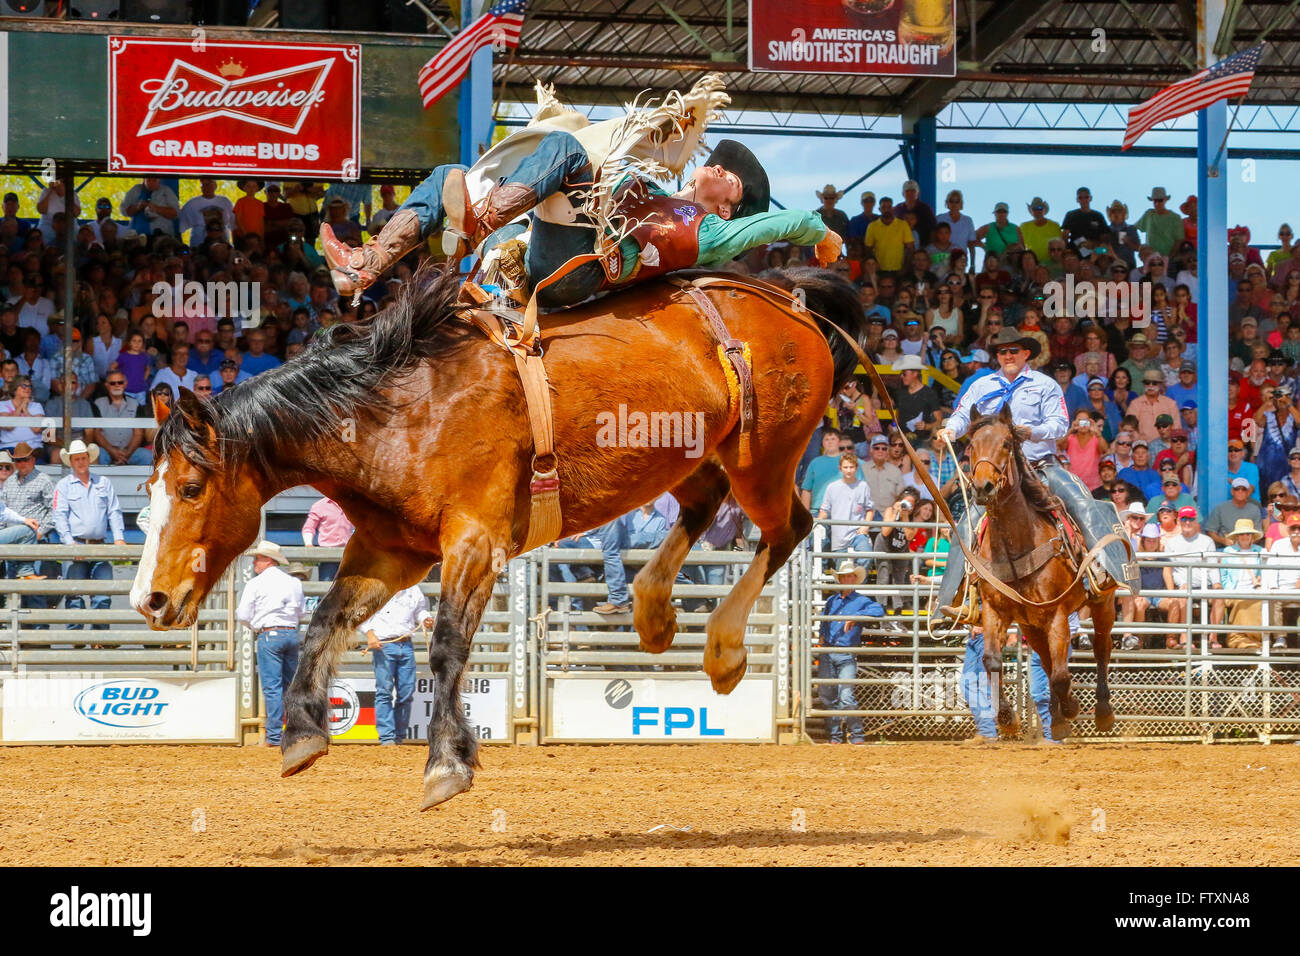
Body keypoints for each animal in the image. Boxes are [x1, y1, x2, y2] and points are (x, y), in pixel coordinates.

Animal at [129, 264, 864, 809]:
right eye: (147, 494)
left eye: (190, 489)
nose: (149, 600)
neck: (395, 410)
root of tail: (783, 298)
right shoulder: (390, 552)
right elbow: (323, 623)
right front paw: (304, 737)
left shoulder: (475, 543)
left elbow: (447, 648)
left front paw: (446, 766)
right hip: (688, 455)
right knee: (707, 502)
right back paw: (655, 612)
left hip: (762, 459)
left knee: (790, 527)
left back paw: (723, 648)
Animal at [963, 405, 1118, 741]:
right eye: (971, 447)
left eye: (1007, 443)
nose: (983, 488)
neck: (1015, 544)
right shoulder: (995, 610)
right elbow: (992, 661)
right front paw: (1007, 718)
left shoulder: (1056, 612)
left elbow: (1061, 675)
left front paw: (1072, 708)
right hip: (1031, 625)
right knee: (1046, 661)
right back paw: (1057, 720)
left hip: (1102, 604)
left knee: (1100, 648)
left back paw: (1102, 712)